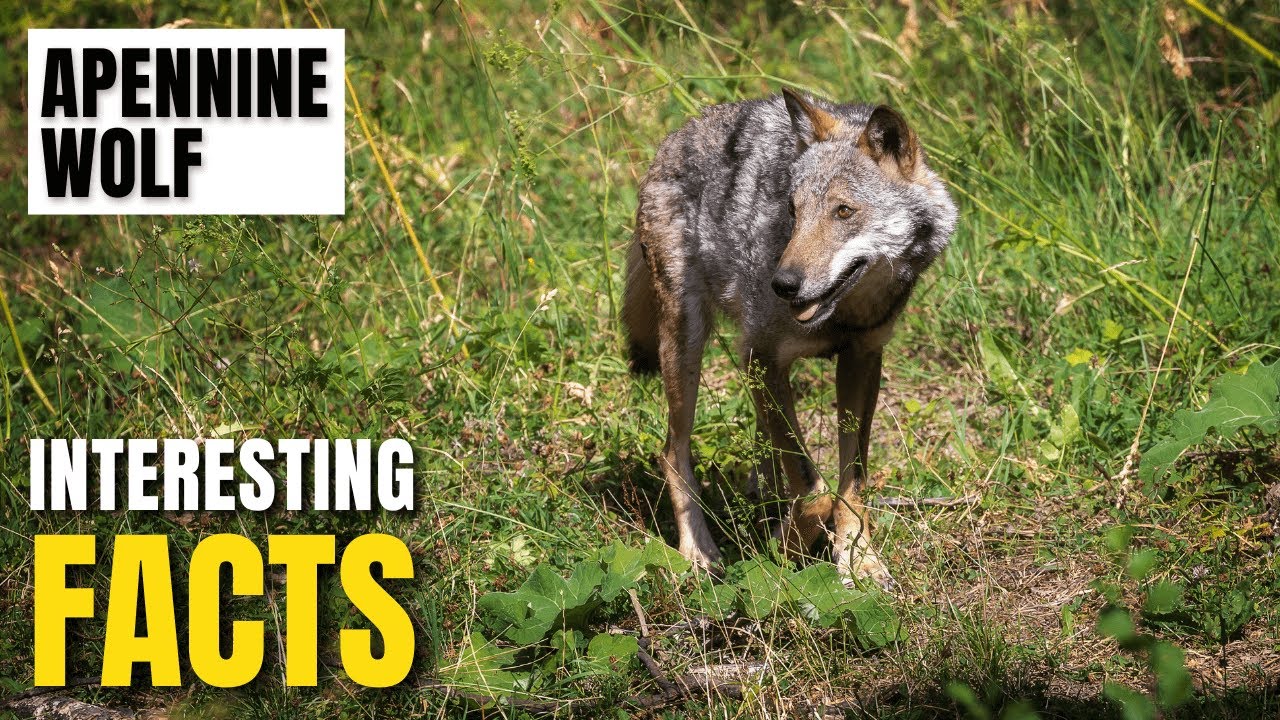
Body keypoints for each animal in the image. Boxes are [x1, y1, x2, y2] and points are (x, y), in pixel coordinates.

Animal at [622, 89, 957, 587]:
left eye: (843, 211)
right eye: (793, 212)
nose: (782, 284)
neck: (846, 315)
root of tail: (675, 137)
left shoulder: (862, 357)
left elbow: (850, 481)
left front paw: (857, 559)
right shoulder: (760, 355)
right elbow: (814, 489)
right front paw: (787, 548)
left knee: (763, 445)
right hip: (687, 348)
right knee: (671, 452)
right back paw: (698, 552)